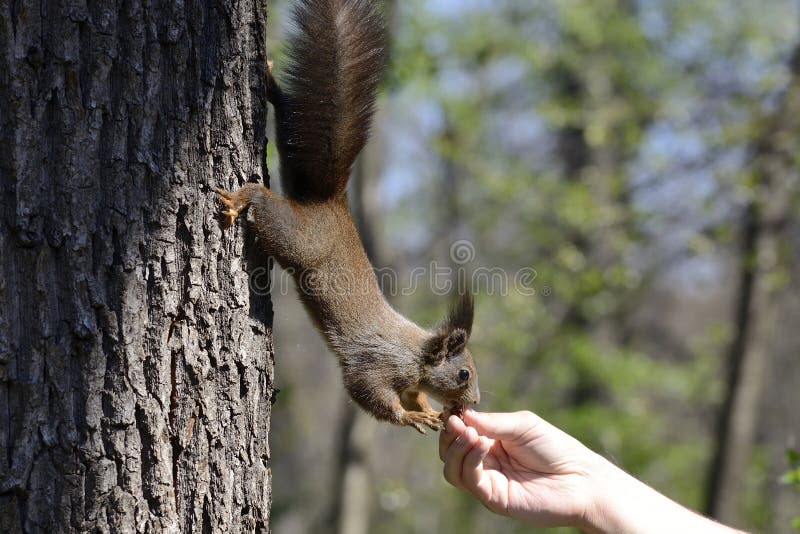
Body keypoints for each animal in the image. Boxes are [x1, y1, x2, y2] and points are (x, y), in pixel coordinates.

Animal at [215, 0, 479, 433]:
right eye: (464, 373)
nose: (475, 402)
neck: (417, 354)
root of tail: (331, 202)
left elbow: (411, 392)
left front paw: (423, 406)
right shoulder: (376, 364)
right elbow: (365, 389)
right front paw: (408, 415)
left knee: (286, 111)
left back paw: (270, 82)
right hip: (296, 237)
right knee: (264, 204)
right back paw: (242, 197)